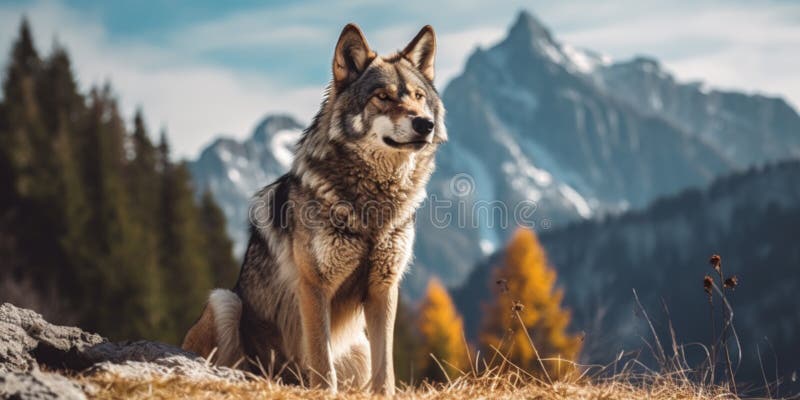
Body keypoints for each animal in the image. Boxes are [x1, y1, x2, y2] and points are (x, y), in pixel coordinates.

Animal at [181, 24, 446, 394]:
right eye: (383, 96)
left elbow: (386, 372)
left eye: (419, 97)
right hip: (225, 302)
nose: (425, 124)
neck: (371, 206)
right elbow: (322, 363)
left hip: (359, 346)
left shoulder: (383, 290)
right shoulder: (314, 286)